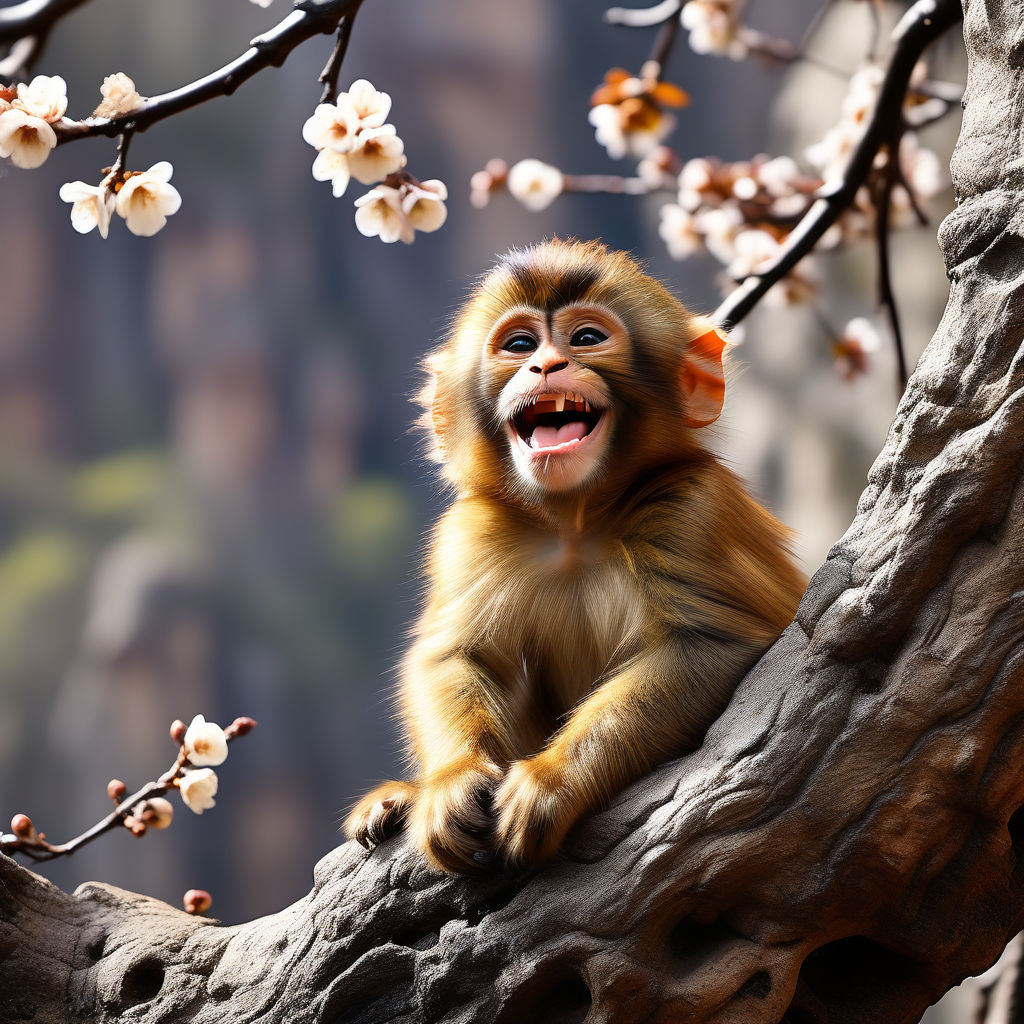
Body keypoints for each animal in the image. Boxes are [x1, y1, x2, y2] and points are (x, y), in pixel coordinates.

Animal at [345, 238, 806, 872]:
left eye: (586, 338)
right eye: (519, 345)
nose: (546, 365)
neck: (577, 523)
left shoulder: (692, 506)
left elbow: (708, 644)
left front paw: (551, 782)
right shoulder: (471, 532)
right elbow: (456, 655)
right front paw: (451, 783)